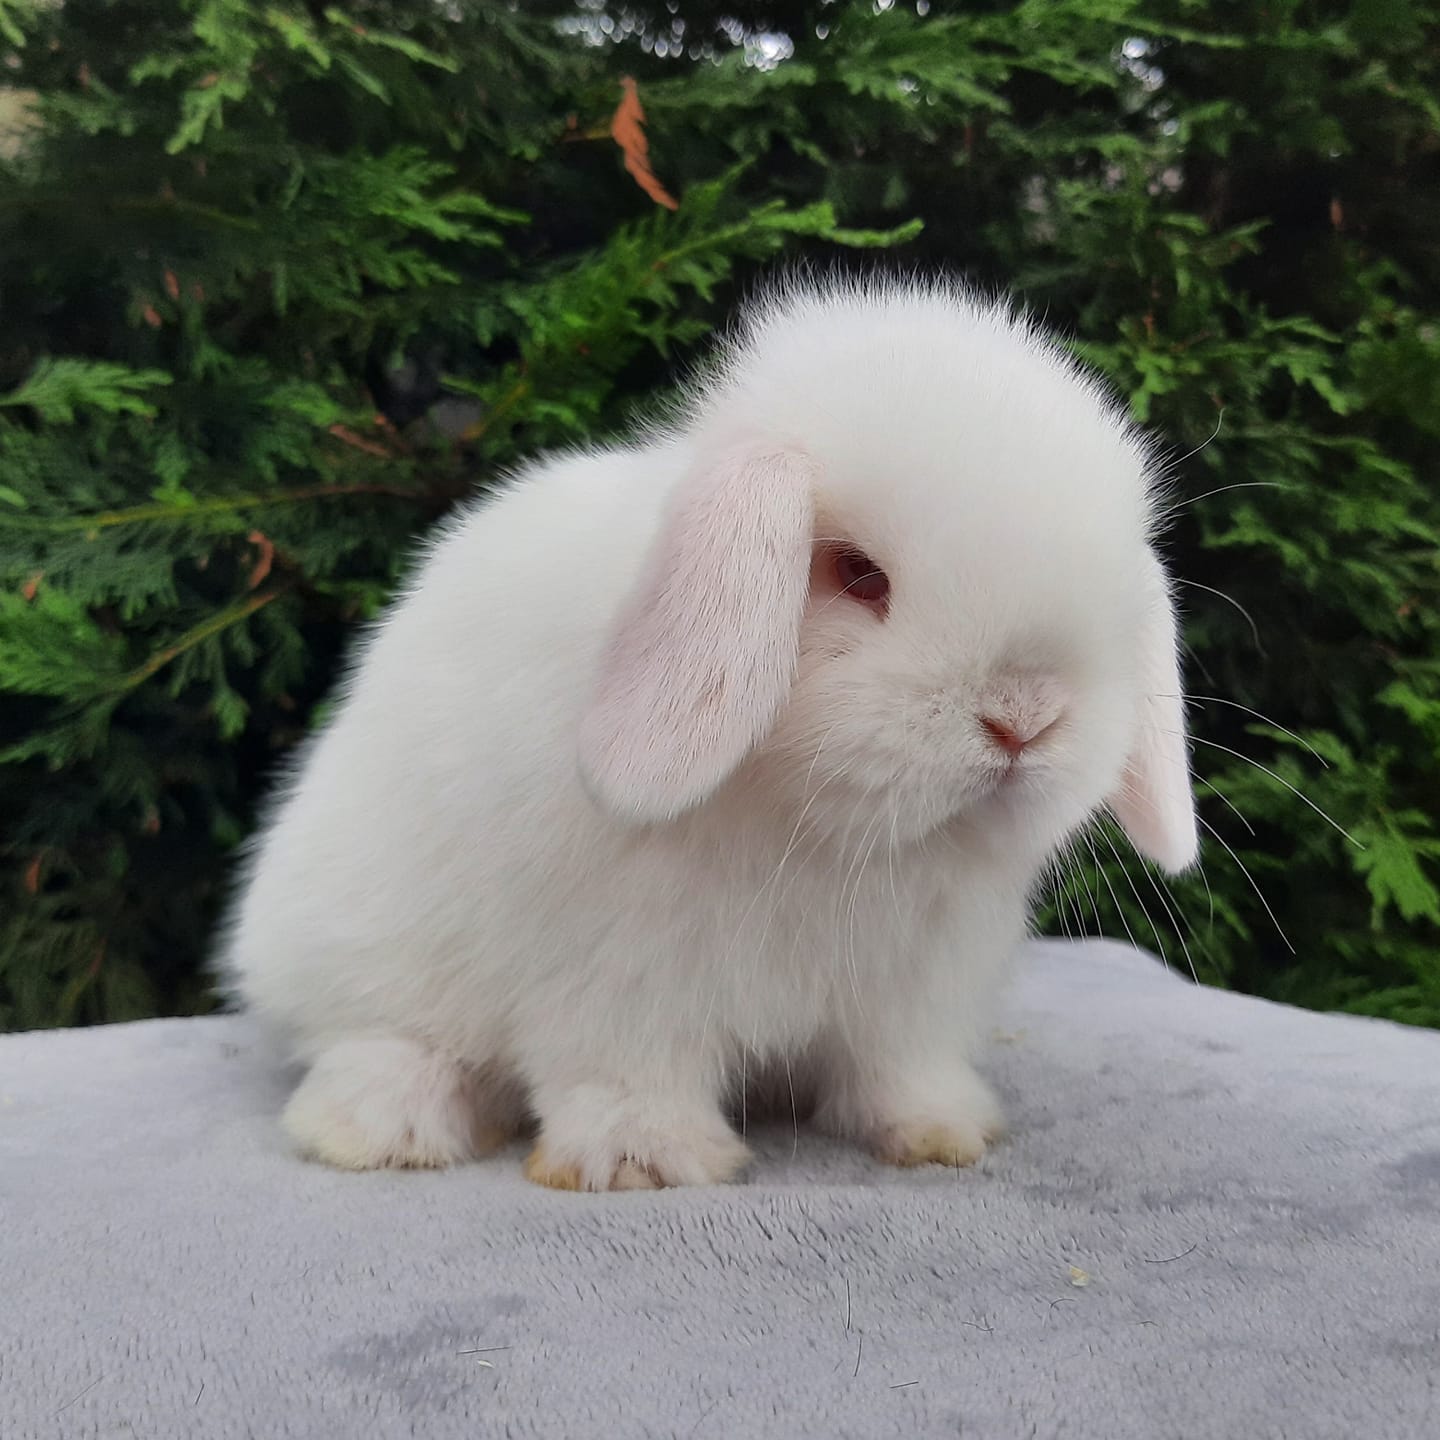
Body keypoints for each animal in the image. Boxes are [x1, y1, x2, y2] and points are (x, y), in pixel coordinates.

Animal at [224, 277, 1198, 1191]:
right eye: (859, 574)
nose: (1024, 719)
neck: (826, 834)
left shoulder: (910, 997)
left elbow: (897, 1071)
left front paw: (940, 1132)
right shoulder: (617, 980)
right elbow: (625, 1071)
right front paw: (644, 1161)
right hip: (355, 946)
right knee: (366, 1039)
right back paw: (387, 1124)